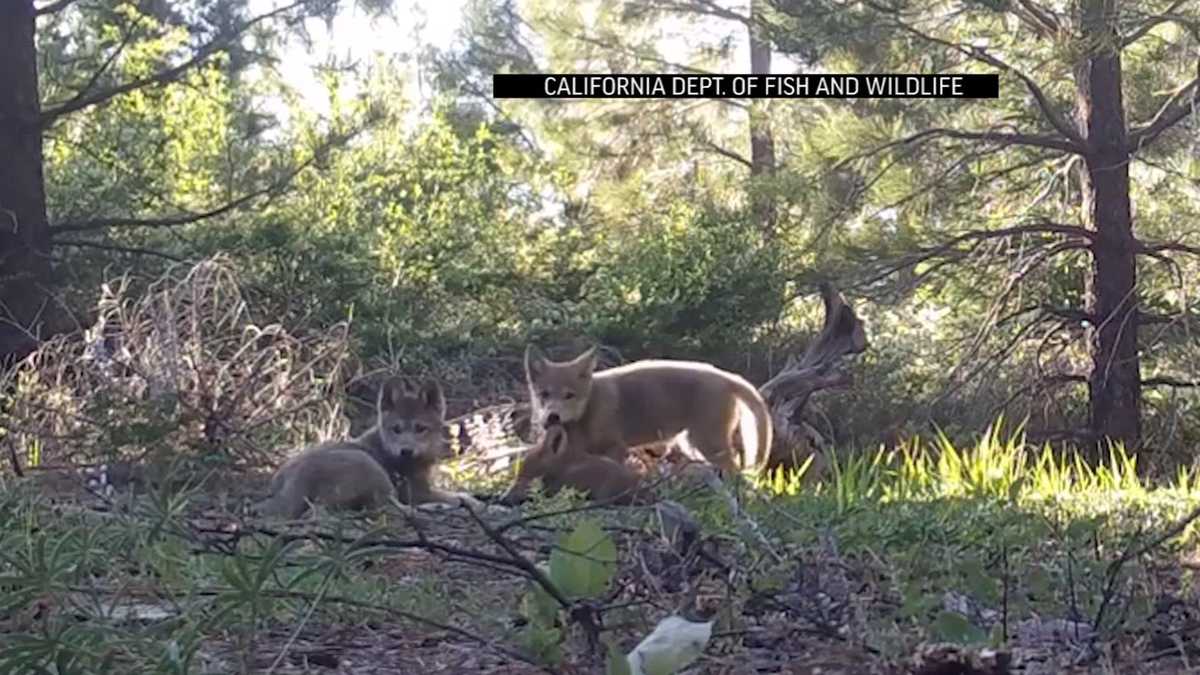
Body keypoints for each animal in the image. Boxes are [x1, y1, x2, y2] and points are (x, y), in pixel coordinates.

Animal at [524, 345, 773, 475]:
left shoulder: (616, 448)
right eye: (544, 394)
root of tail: (728, 377)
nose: (552, 417)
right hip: (693, 446)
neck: (589, 411)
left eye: (569, 395)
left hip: (709, 444)